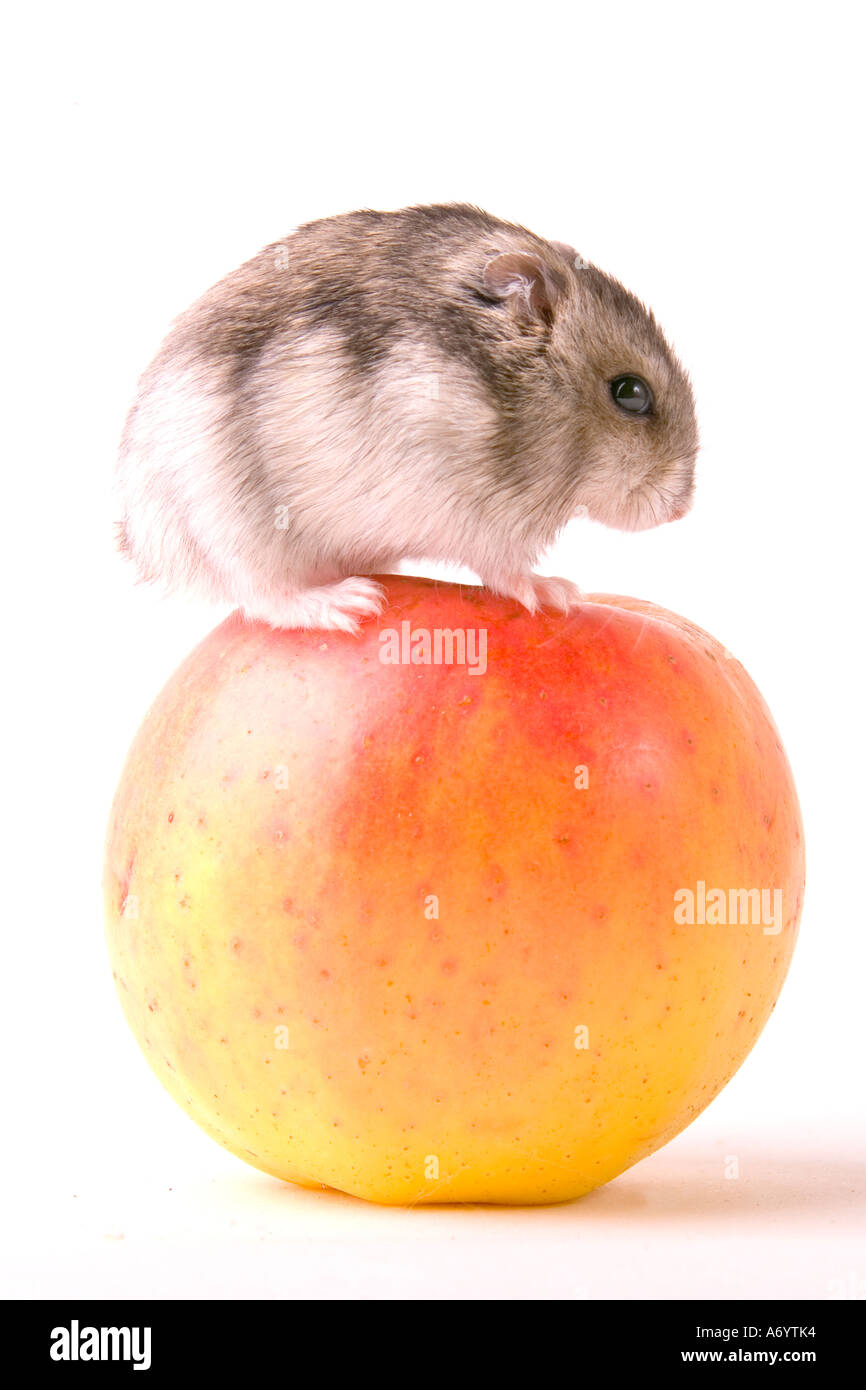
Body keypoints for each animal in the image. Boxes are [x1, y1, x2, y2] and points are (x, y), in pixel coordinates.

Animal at [116, 203, 698, 631]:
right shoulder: (479, 517)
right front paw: (558, 593)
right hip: (229, 522)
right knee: (263, 596)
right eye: (630, 393)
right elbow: (506, 569)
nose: (682, 510)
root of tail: (141, 540)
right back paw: (349, 604)